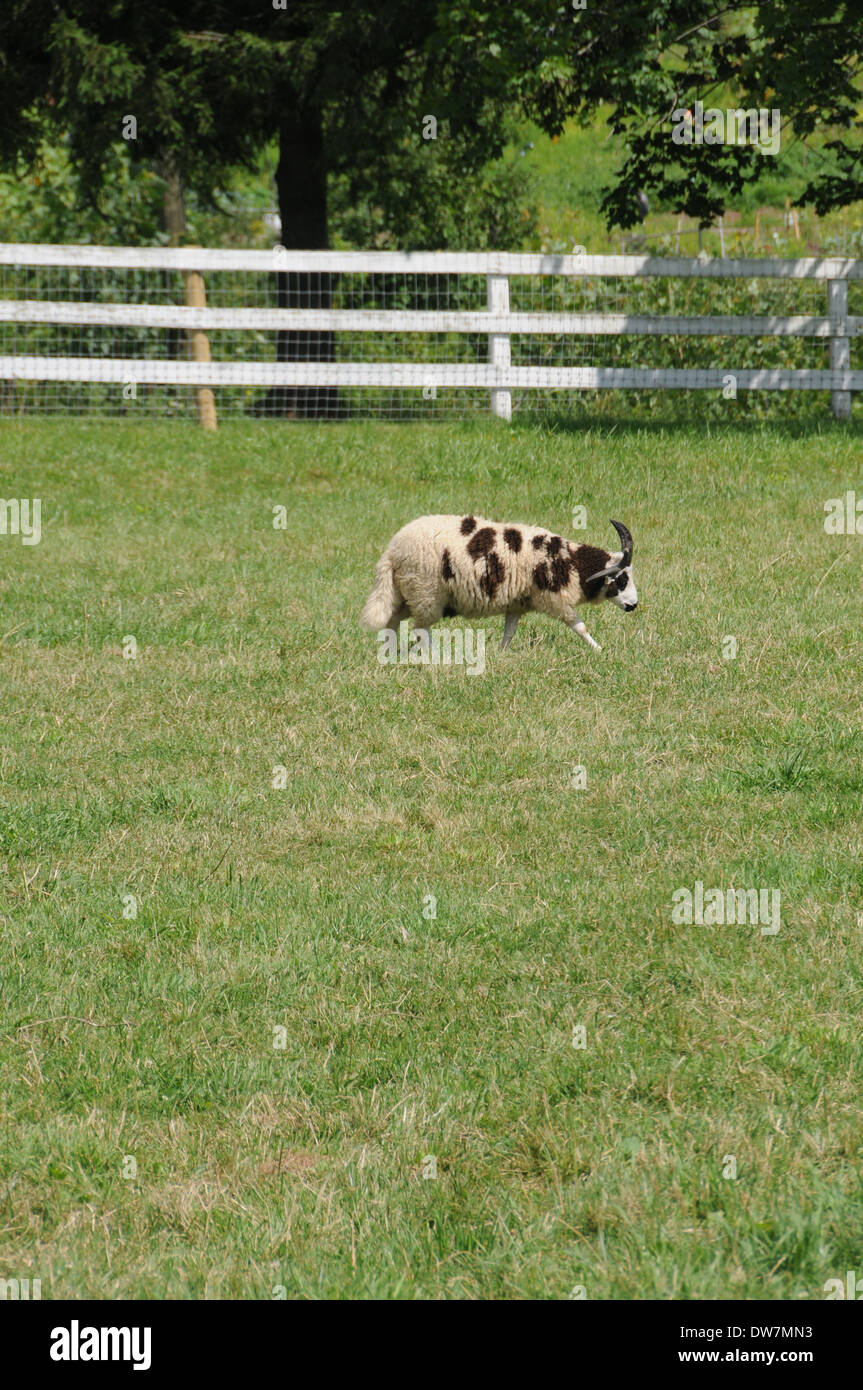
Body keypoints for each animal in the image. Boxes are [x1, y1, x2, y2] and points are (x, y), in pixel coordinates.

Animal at [360, 514, 637, 652]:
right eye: (622, 578)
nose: (634, 605)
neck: (571, 562)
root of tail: (392, 550)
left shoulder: (517, 603)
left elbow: (509, 631)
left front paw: (501, 653)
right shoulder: (555, 599)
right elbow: (580, 627)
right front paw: (599, 650)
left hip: (405, 593)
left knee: (392, 622)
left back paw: (391, 652)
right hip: (425, 593)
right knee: (420, 630)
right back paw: (430, 656)